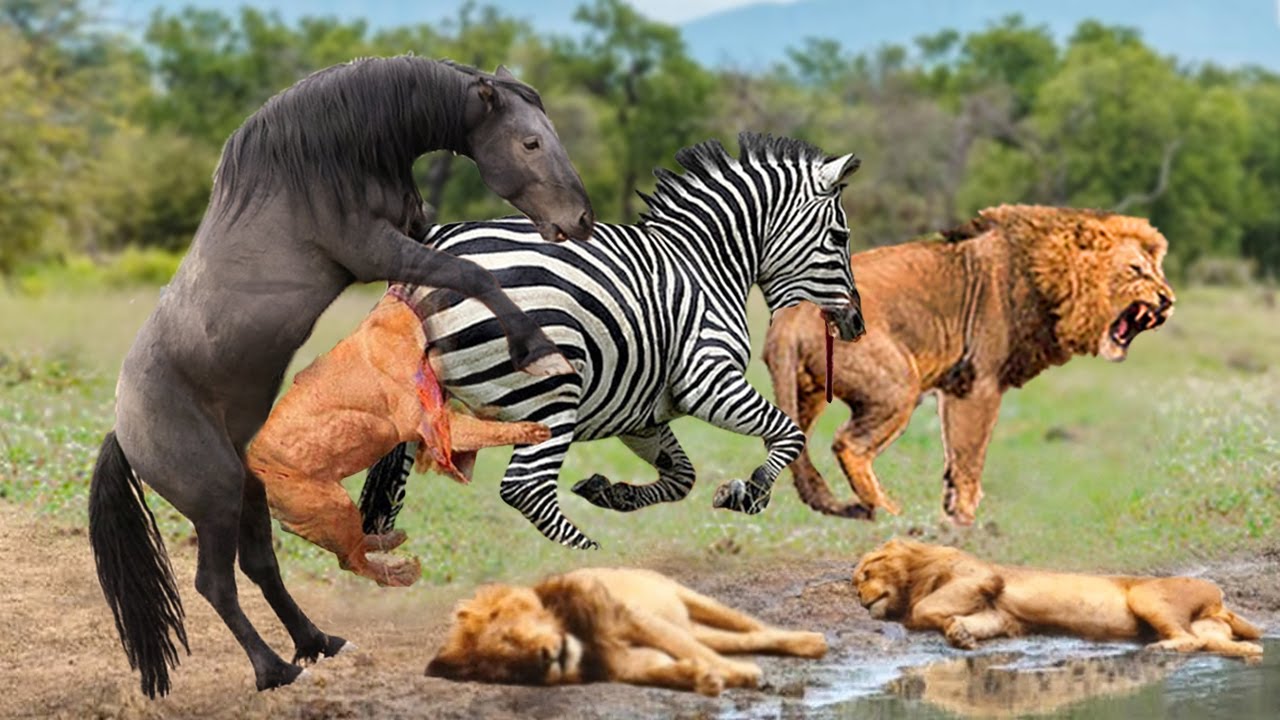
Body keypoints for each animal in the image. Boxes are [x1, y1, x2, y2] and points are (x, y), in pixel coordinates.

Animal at [248, 292, 550, 586]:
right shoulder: (441, 425)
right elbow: (490, 430)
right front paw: (537, 429)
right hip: (336, 507)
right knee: (353, 560)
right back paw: (403, 572)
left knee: (357, 546)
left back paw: (391, 540)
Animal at [374, 133, 865, 549]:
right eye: (840, 236)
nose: (857, 325)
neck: (707, 265)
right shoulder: (708, 381)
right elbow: (789, 432)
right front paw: (749, 492)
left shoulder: (640, 411)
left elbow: (681, 476)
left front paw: (610, 493)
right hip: (553, 390)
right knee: (526, 488)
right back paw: (588, 561)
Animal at [425, 567, 828, 695]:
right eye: (510, 670)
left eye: (510, 638)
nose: (545, 659)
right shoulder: (625, 661)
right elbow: (664, 667)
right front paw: (701, 679)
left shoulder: (632, 618)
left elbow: (691, 651)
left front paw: (741, 674)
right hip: (697, 625)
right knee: (739, 638)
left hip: (689, 596)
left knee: (754, 626)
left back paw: (810, 641)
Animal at [765, 205, 1175, 523]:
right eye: (1137, 269)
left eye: (1158, 271)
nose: (1168, 299)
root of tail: (791, 315)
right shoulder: (978, 382)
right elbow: (969, 455)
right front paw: (964, 518)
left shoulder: (955, 384)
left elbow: (956, 456)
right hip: (897, 386)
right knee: (849, 444)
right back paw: (887, 511)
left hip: (807, 393)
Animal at [852, 539, 1263, 659]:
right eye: (855, 584)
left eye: (864, 575)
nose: (858, 598)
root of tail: (1218, 597)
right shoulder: (1001, 616)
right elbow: (964, 620)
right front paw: (961, 634)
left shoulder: (983, 577)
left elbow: (921, 610)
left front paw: (951, 627)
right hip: (1214, 632)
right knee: (1226, 645)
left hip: (1148, 596)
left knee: (1187, 639)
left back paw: (1159, 648)